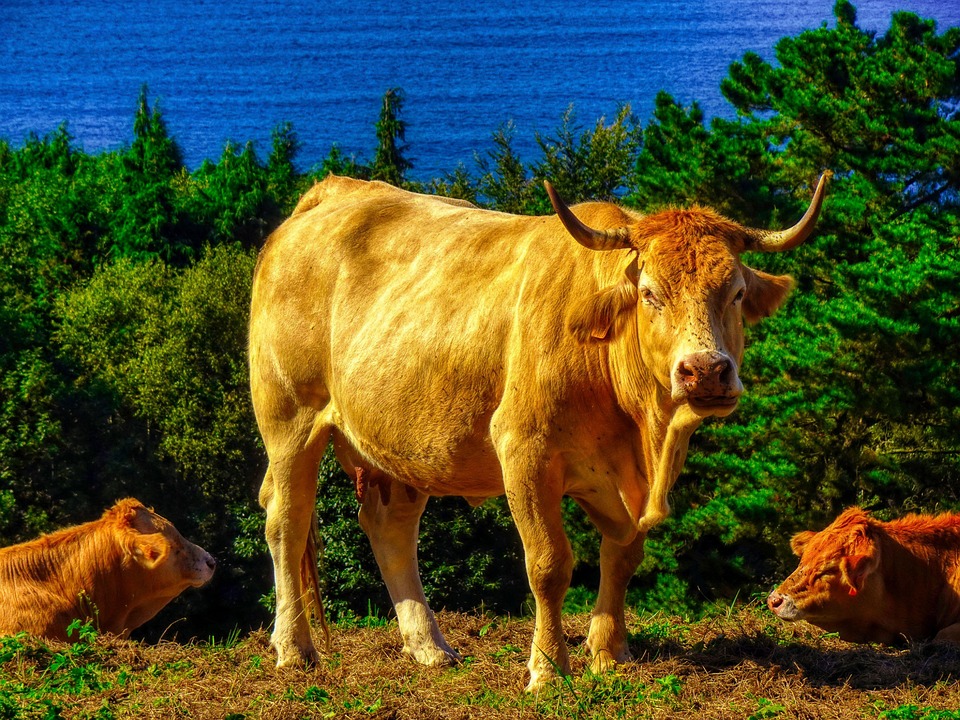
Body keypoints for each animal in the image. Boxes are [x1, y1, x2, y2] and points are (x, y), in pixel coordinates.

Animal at [248, 172, 828, 689]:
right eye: (650, 293)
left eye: (735, 293)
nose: (705, 371)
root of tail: (334, 192)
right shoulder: (525, 452)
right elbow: (550, 564)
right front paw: (548, 668)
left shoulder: (624, 480)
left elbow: (623, 557)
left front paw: (609, 652)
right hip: (290, 420)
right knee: (286, 521)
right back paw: (293, 648)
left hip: (401, 442)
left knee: (389, 527)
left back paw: (429, 646)